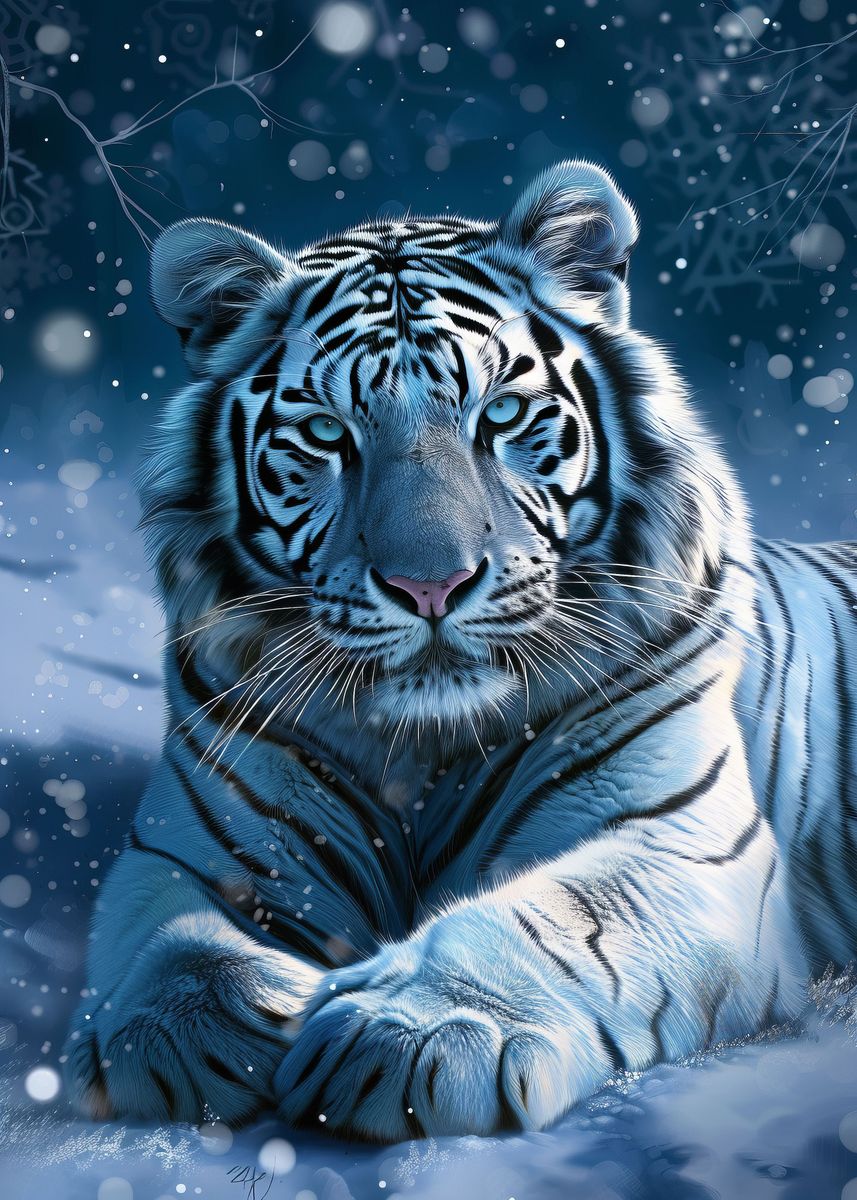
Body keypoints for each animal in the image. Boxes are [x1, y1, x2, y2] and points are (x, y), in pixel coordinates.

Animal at [63, 160, 857, 1141]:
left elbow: (565, 918)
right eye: (325, 434)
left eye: (504, 414)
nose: (430, 586)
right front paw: (197, 1028)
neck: (419, 750)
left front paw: (419, 1027)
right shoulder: (187, 852)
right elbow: (167, 937)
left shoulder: (678, 842)